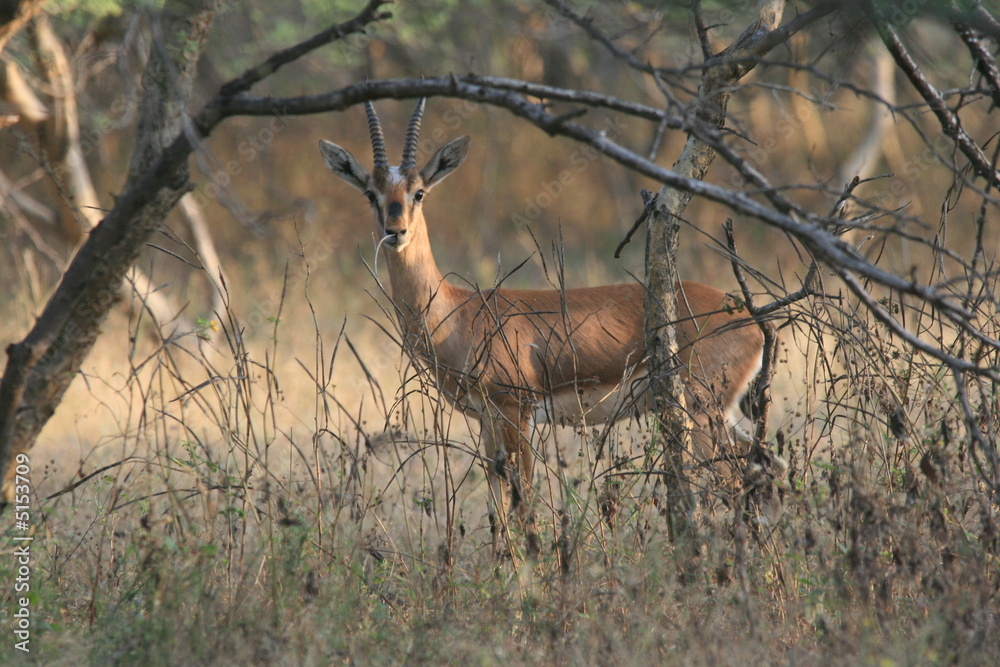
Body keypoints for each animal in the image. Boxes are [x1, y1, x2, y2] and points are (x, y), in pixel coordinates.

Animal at [319, 100, 765, 533]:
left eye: (420, 192)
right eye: (370, 193)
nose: (395, 231)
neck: (458, 314)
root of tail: (753, 323)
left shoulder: (515, 412)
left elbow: (523, 506)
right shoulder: (486, 422)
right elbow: (498, 514)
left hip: (702, 411)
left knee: (738, 482)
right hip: (721, 415)